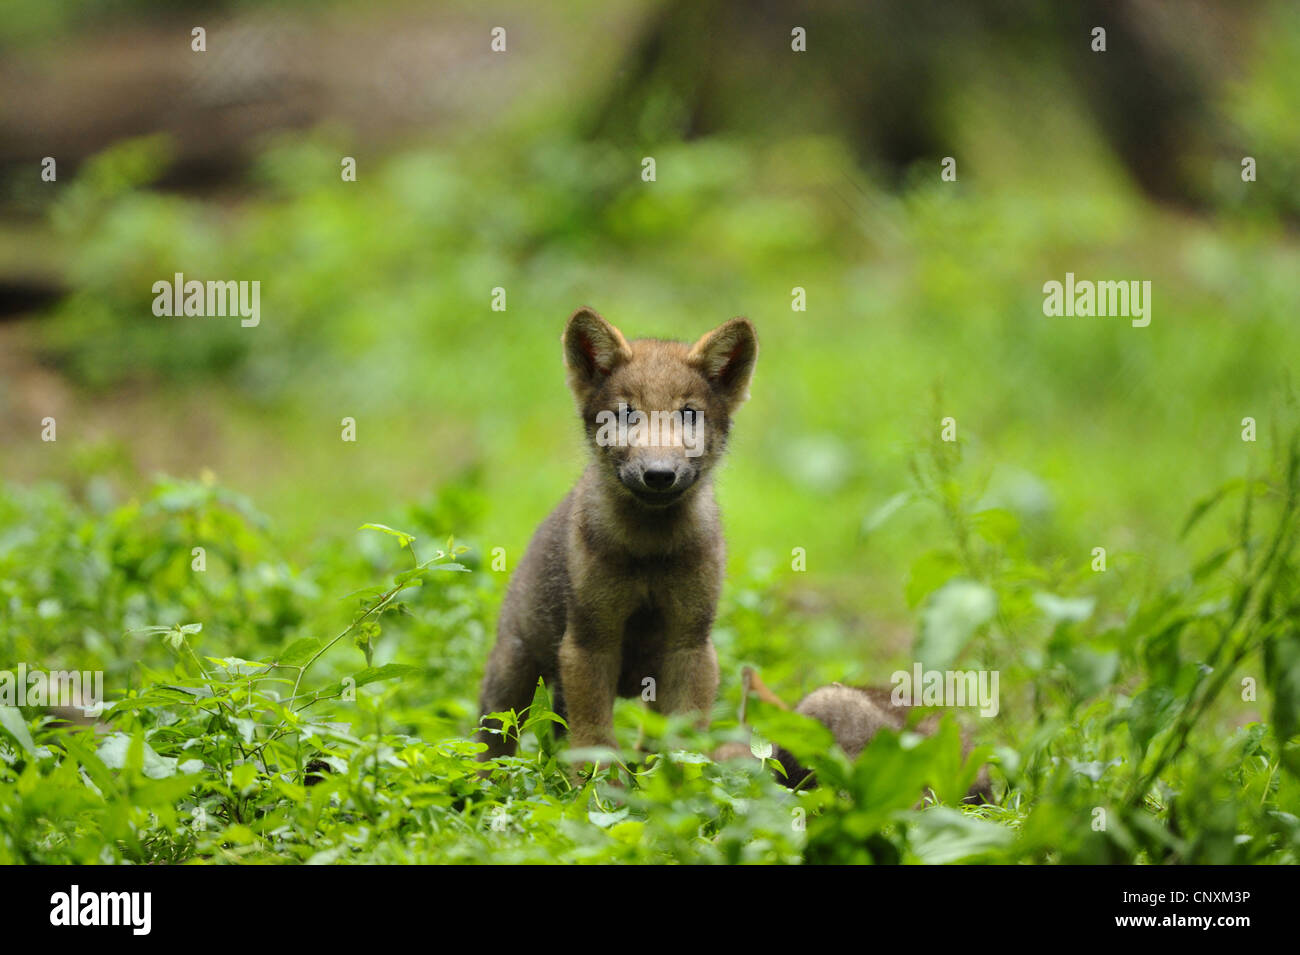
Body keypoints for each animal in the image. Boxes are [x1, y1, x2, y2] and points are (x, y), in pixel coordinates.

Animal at [476, 307, 758, 764]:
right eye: (625, 414)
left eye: (689, 414)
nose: (659, 474)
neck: (650, 550)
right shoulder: (590, 641)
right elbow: (596, 742)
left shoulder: (691, 643)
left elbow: (683, 742)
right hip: (512, 674)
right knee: (493, 748)